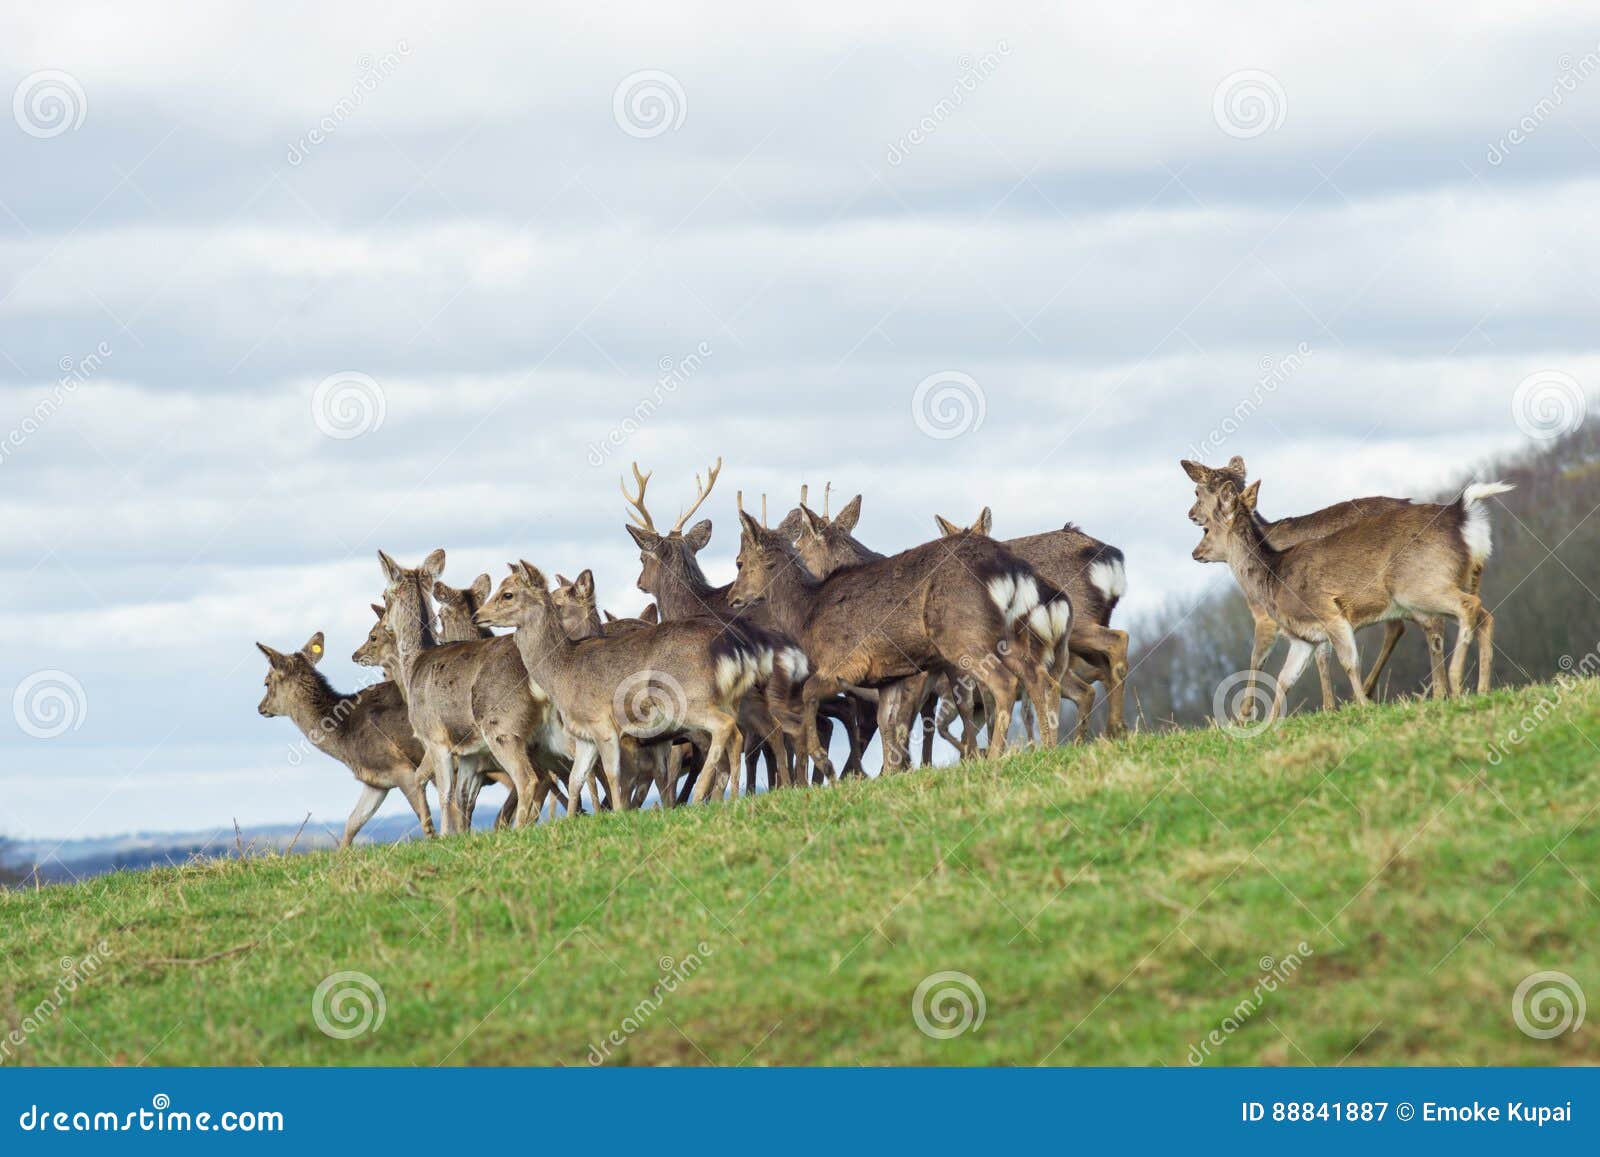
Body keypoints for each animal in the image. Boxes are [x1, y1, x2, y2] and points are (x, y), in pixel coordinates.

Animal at [256, 632, 436, 847]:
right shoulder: (376, 781)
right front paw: (343, 851)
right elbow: (353, 822)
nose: (260, 707)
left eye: (266, 682)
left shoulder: (401, 766)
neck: (347, 739)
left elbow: (424, 815)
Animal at [377, 549, 572, 831]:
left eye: (384, 595)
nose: (383, 625)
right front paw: (461, 833)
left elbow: (445, 793)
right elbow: (463, 797)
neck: (414, 666)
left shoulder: (435, 737)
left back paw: (519, 829)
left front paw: (444, 835)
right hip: (555, 727)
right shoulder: (469, 751)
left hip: (502, 726)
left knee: (528, 779)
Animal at [475, 562, 764, 808]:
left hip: (692, 702)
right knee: (736, 739)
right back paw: (730, 798)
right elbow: (577, 780)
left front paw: (618, 813)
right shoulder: (584, 736)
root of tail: (735, 650)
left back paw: (700, 796)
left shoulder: (604, 724)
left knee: (723, 729)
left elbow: (614, 776)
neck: (561, 675)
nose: (478, 615)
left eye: (508, 594)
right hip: (728, 701)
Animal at [727, 509, 1064, 776]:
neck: (806, 616)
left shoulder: (846, 661)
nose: (732, 598)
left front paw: (824, 760)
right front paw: (889, 773)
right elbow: (887, 721)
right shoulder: (888, 676)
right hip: (1009, 636)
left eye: (740, 562)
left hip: (964, 635)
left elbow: (811, 693)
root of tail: (1010, 569)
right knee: (1039, 677)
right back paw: (1048, 748)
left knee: (1004, 683)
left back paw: (994, 756)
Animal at [1191, 476, 1513, 722]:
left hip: (1418, 587)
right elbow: (1285, 678)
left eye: (1206, 528)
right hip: (1454, 582)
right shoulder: (1303, 638)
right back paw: (1482, 688)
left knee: (1467, 608)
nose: (1195, 553)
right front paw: (1270, 724)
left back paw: (1456, 681)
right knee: (1485, 615)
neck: (1274, 578)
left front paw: (1364, 706)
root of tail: (1463, 515)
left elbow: (1349, 663)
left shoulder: (1329, 612)